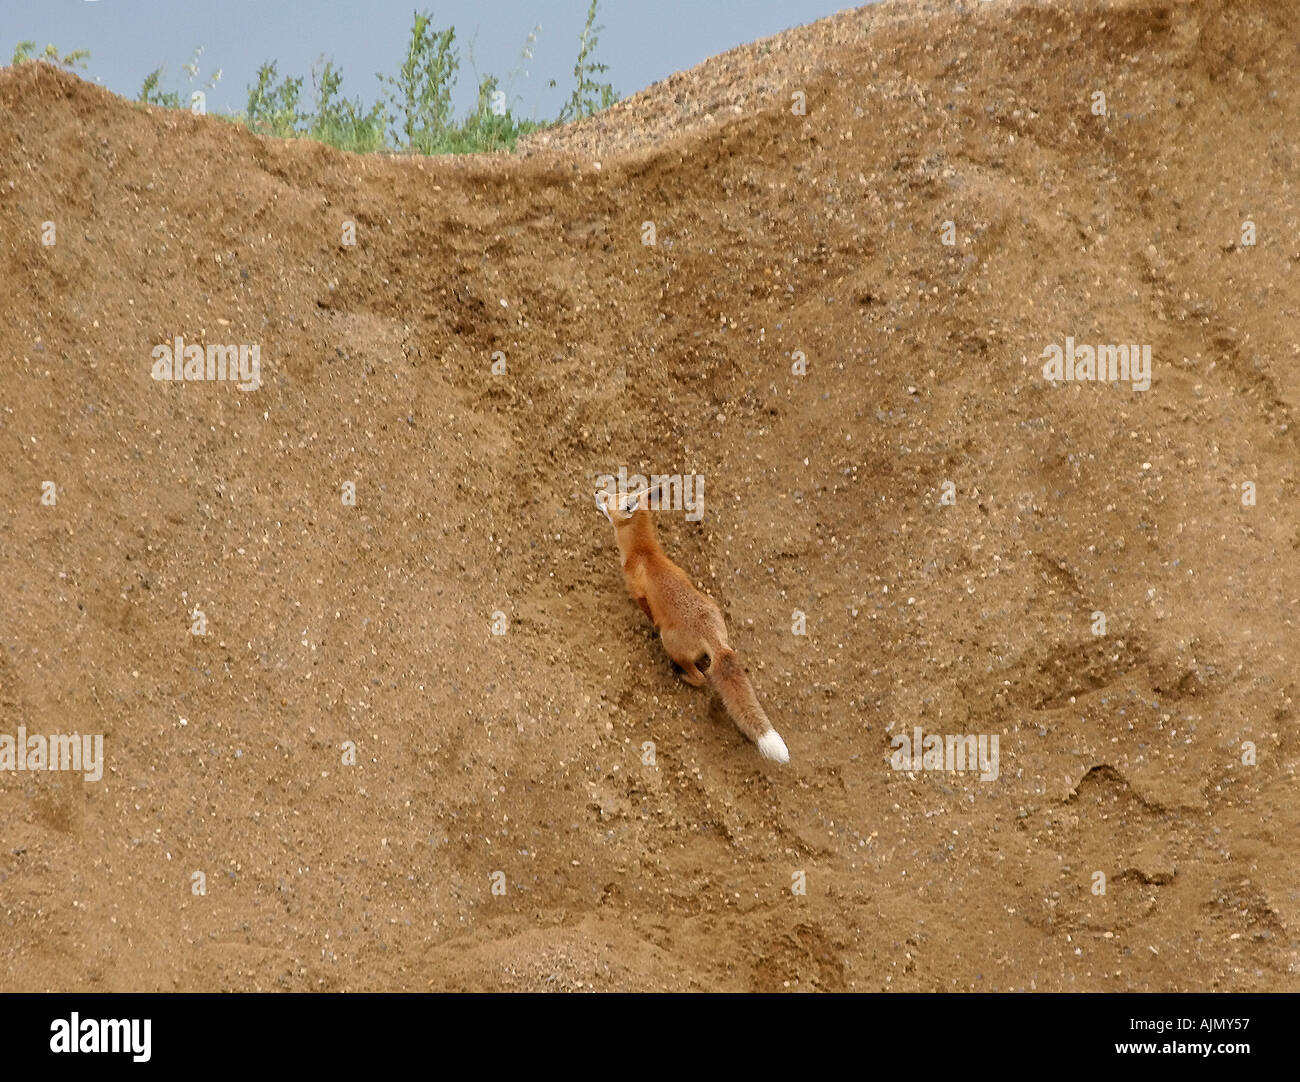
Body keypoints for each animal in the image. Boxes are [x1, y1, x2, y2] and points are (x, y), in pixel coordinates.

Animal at [597, 485, 790, 764]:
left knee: (701, 678)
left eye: (608, 498)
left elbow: (648, 613)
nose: (596, 492)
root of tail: (714, 638)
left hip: (670, 643)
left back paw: (682, 675)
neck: (644, 554)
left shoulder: (640, 595)